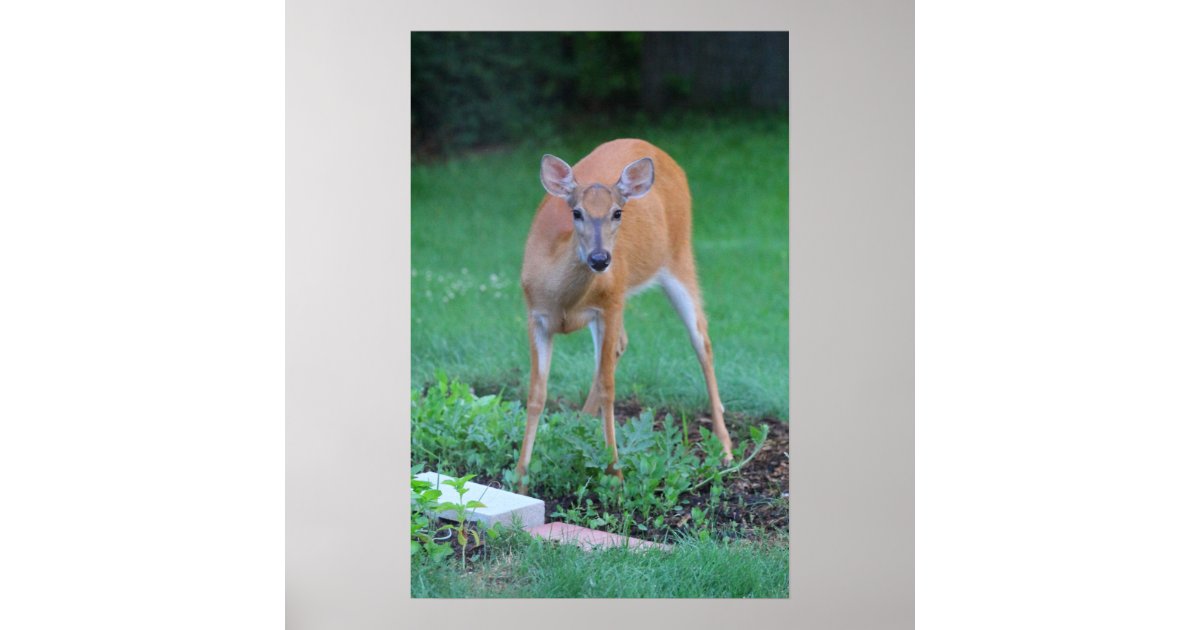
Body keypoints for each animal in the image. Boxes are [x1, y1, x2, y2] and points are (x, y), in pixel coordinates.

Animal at [514, 138, 733, 494]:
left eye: (618, 212)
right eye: (576, 212)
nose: (600, 259)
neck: (562, 301)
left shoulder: (611, 304)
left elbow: (608, 387)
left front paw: (615, 475)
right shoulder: (536, 317)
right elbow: (536, 393)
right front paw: (521, 476)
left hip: (679, 257)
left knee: (702, 340)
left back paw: (725, 448)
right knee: (621, 346)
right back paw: (578, 423)